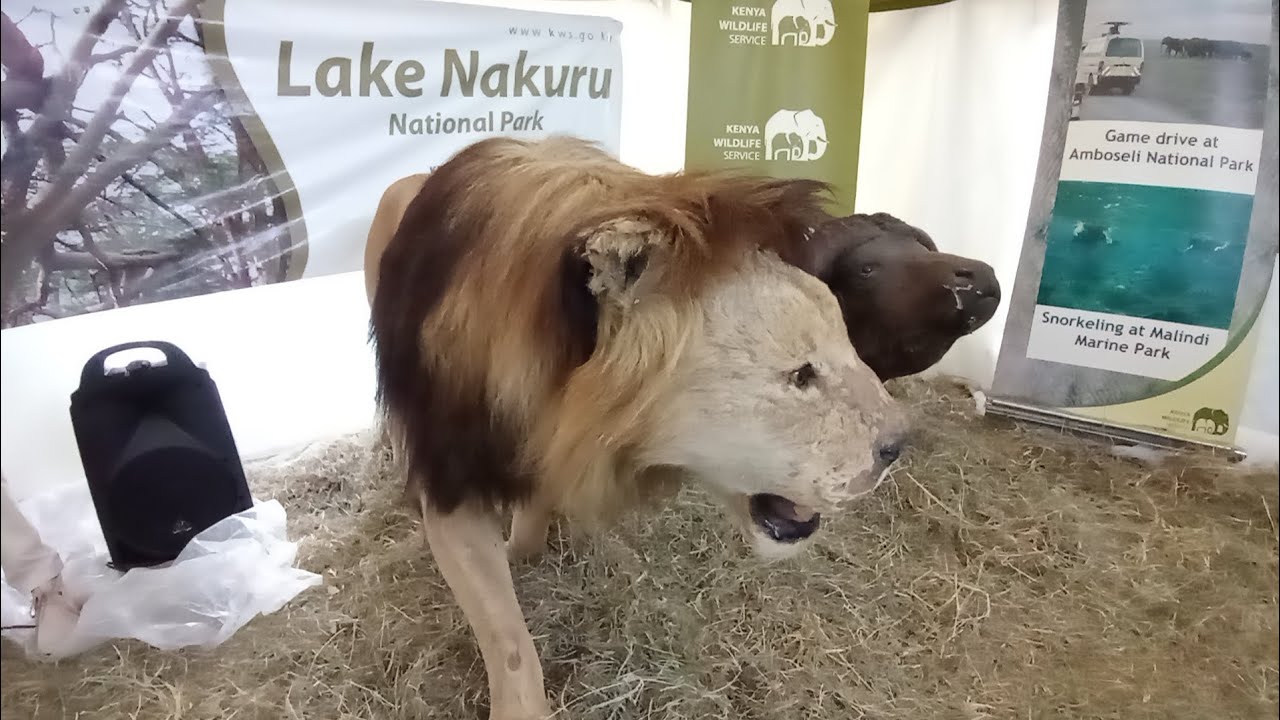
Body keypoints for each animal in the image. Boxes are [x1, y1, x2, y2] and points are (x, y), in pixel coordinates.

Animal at [364, 135, 908, 720]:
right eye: (801, 374)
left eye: (847, 342)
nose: (900, 445)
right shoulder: (447, 483)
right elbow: (508, 643)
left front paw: (523, 547)